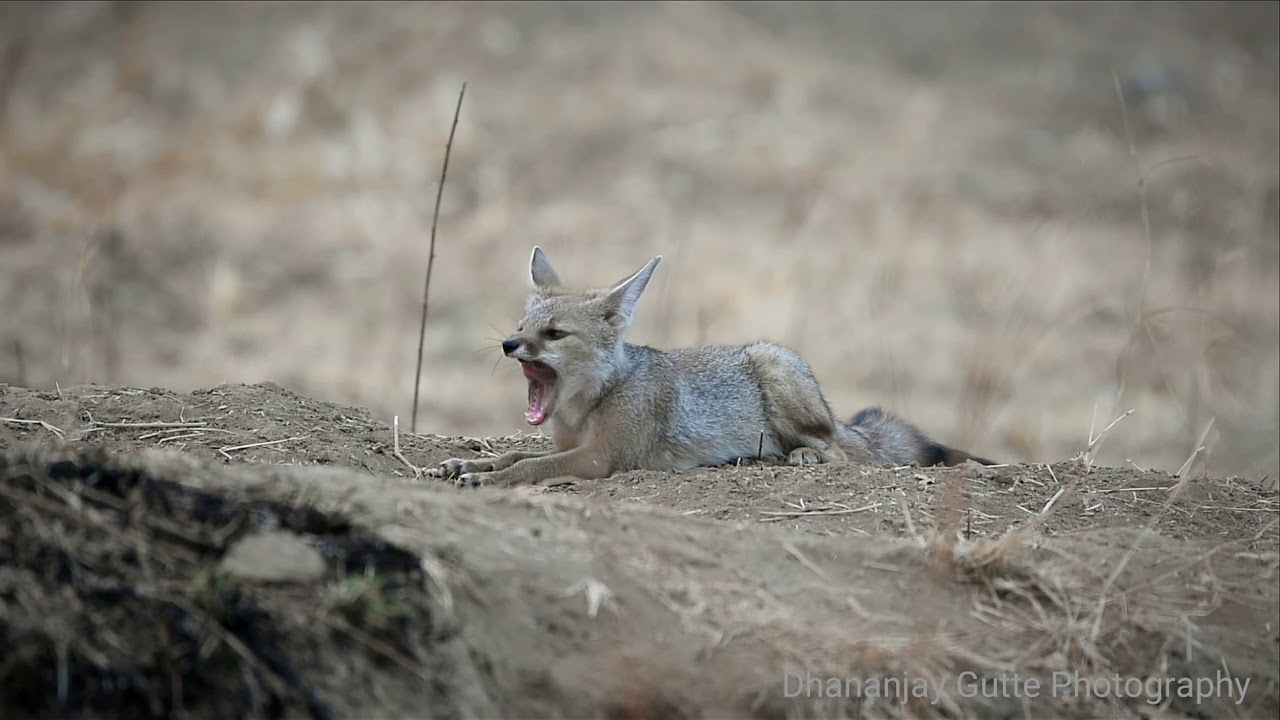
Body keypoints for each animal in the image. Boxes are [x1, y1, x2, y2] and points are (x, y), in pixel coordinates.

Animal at [433, 247, 995, 488]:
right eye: (521, 325)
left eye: (553, 335)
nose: (508, 344)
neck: (588, 405)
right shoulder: (571, 446)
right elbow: (514, 455)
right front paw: (468, 465)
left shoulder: (602, 458)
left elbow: (530, 466)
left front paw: (487, 477)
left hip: (776, 366)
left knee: (840, 453)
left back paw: (799, 457)